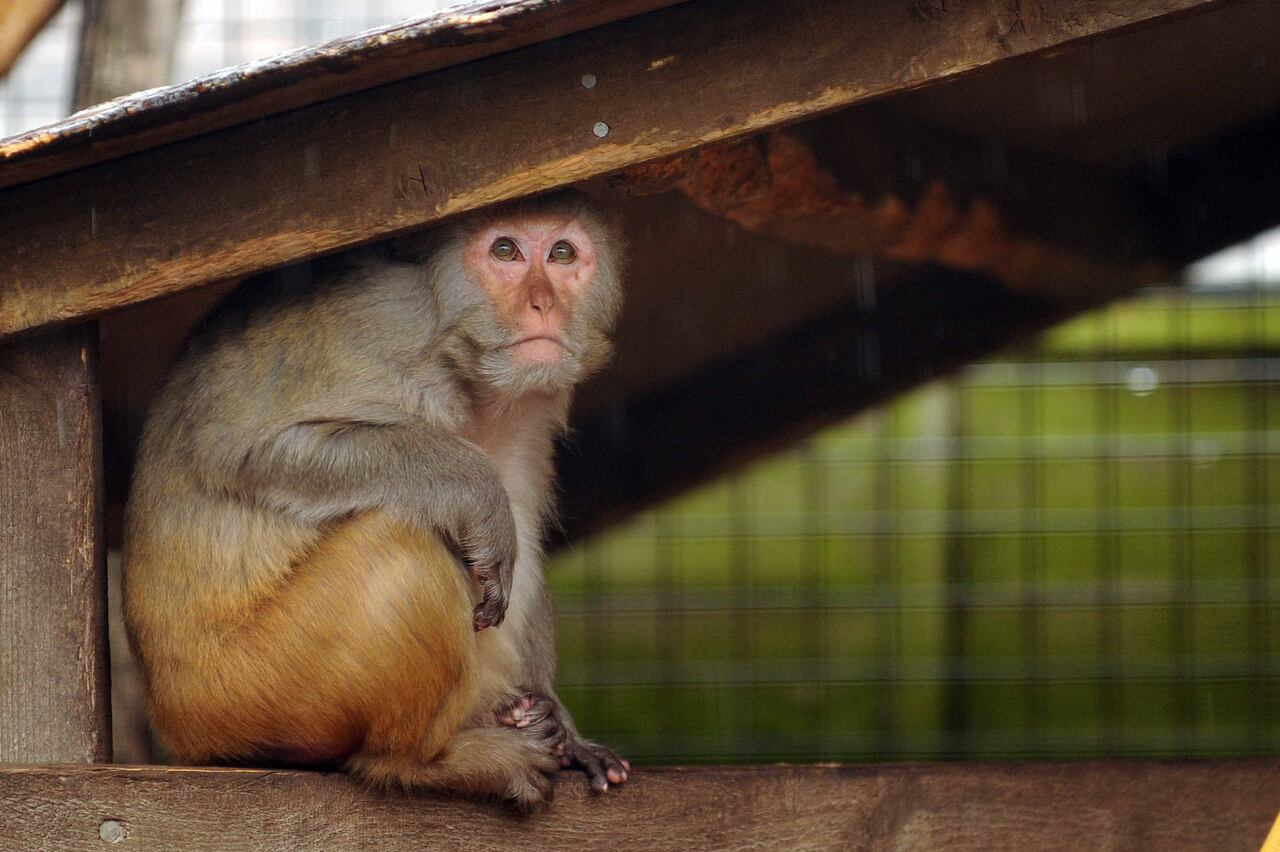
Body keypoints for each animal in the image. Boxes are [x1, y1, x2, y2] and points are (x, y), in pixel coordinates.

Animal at [123, 190, 629, 811]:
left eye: (562, 254)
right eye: (505, 250)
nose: (542, 304)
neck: (469, 373)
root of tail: (170, 718)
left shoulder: (530, 411)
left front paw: (561, 723)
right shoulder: (382, 322)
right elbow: (243, 452)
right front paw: (476, 489)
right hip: (242, 692)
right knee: (400, 550)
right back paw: (421, 763)